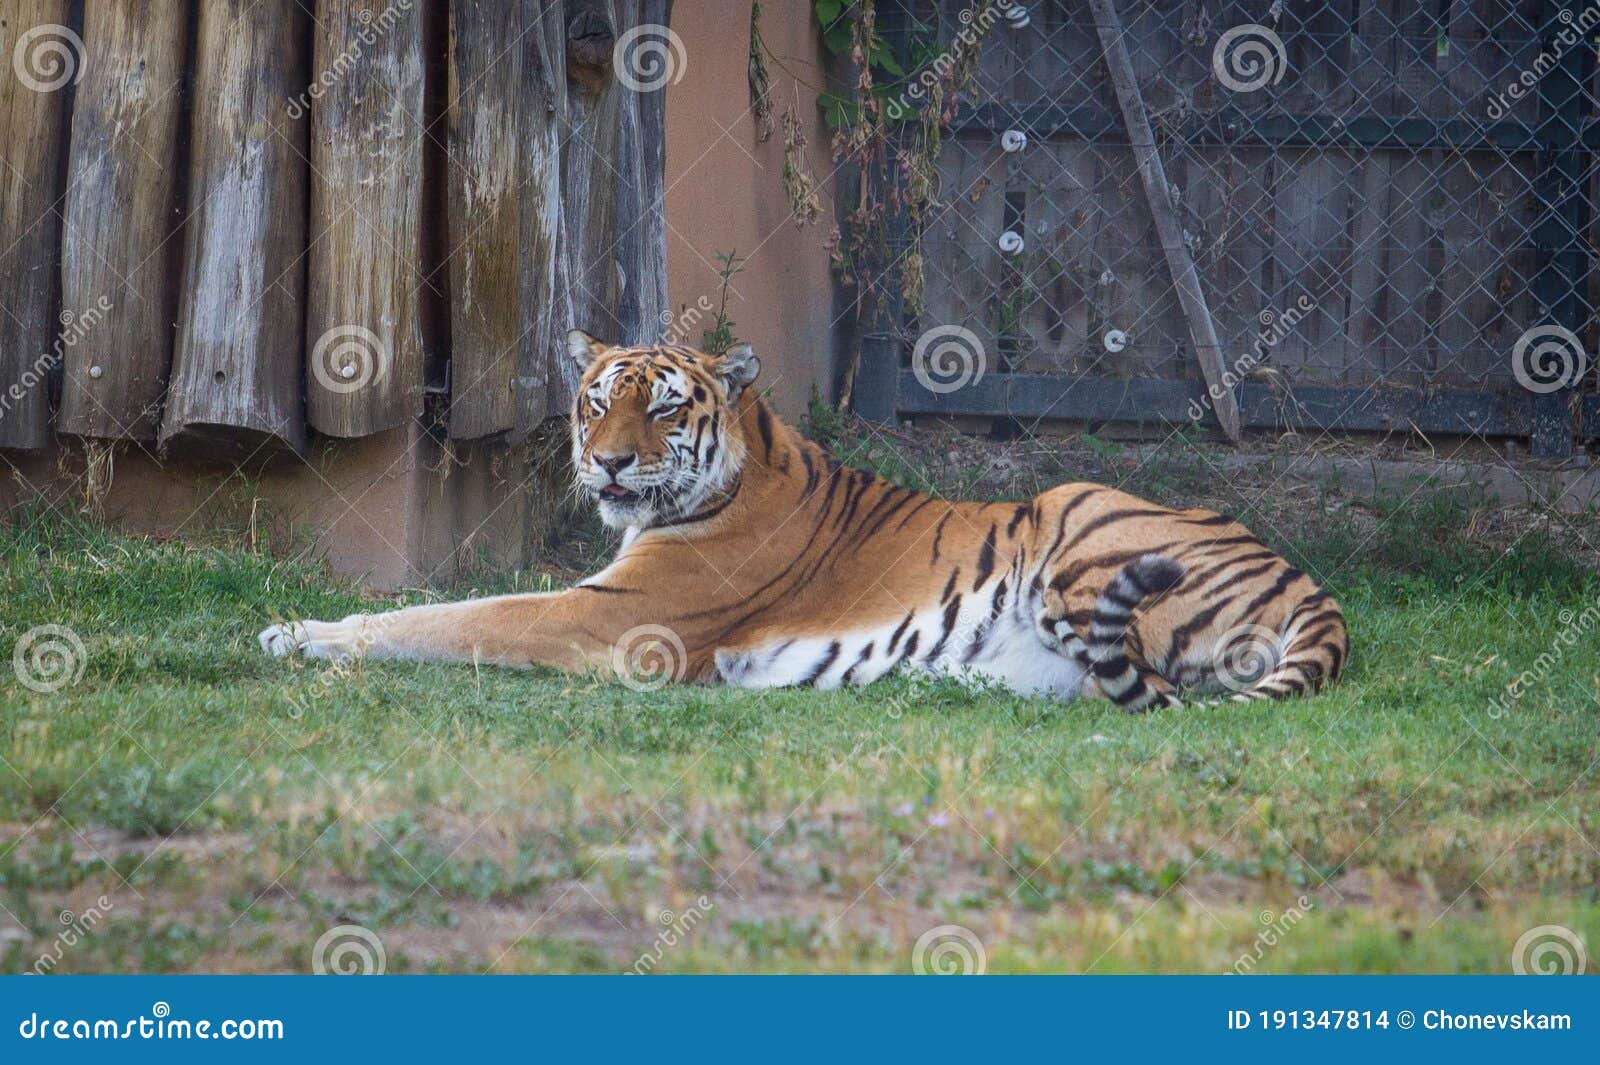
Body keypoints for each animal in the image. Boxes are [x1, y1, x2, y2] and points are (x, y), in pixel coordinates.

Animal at [259, 331, 1347, 709]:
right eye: (596, 400)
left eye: (662, 409)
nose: (606, 460)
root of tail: (1310, 581)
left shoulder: (613, 619)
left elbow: (448, 618)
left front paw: (298, 632)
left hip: (1078, 522)